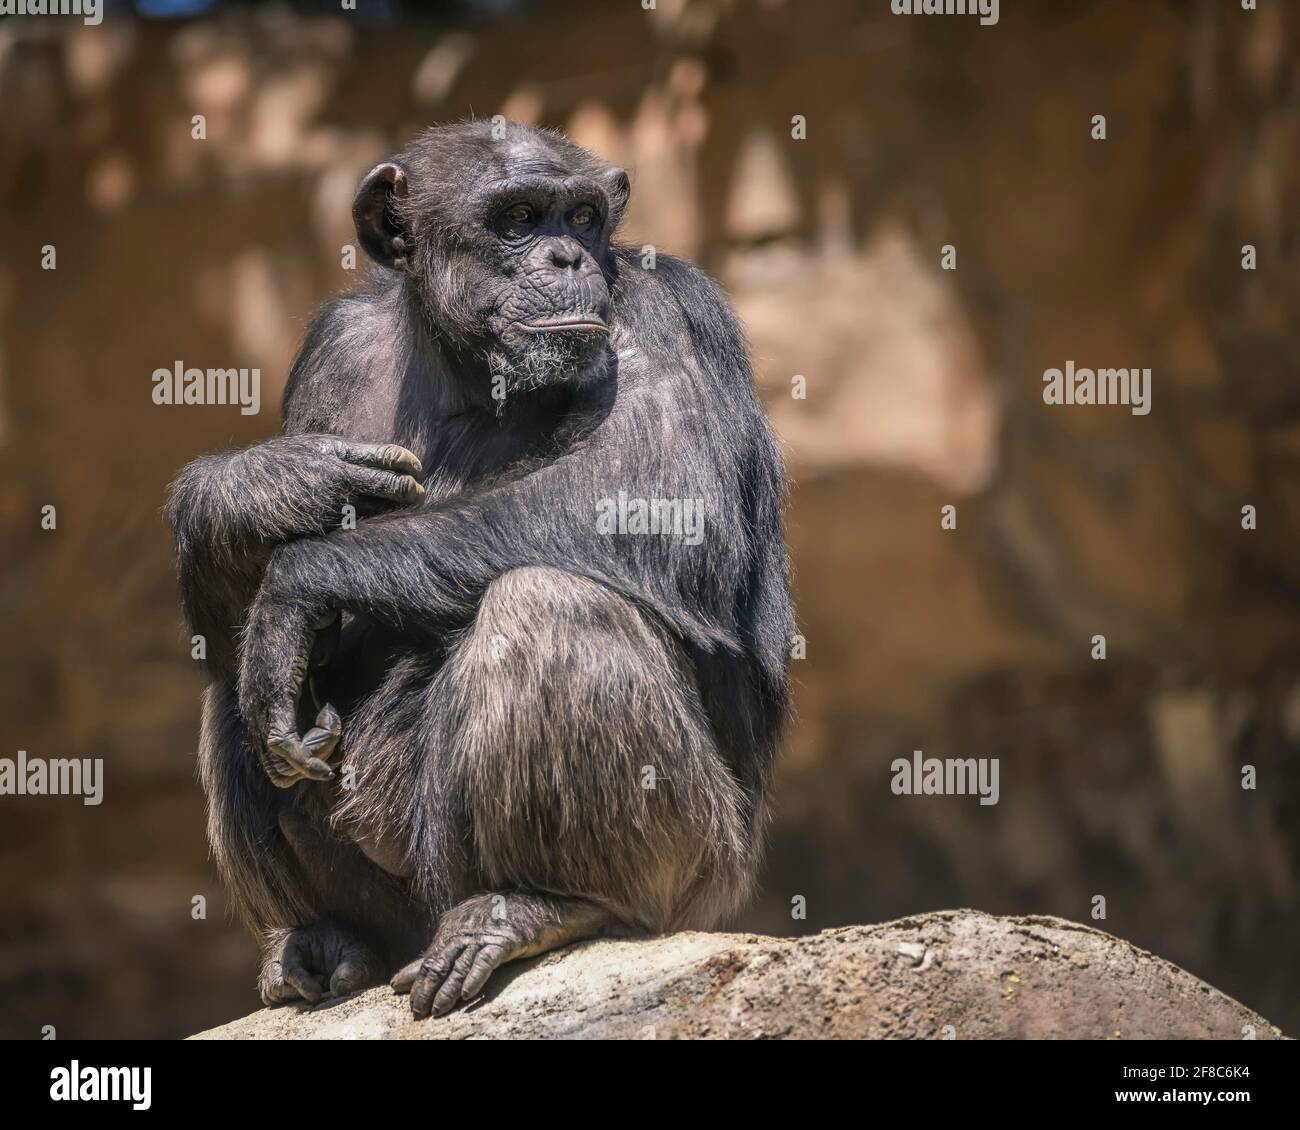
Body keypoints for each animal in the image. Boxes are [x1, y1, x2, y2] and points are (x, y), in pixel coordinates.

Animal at [168, 121, 793, 1019]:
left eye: (582, 217)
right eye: (519, 219)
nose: (567, 258)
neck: (466, 360)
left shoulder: (663, 307)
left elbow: (655, 489)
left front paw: (299, 580)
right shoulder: (331, 349)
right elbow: (241, 623)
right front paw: (257, 489)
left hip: (702, 873)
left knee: (547, 603)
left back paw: (538, 905)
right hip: (396, 900)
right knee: (236, 680)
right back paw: (320, 942)